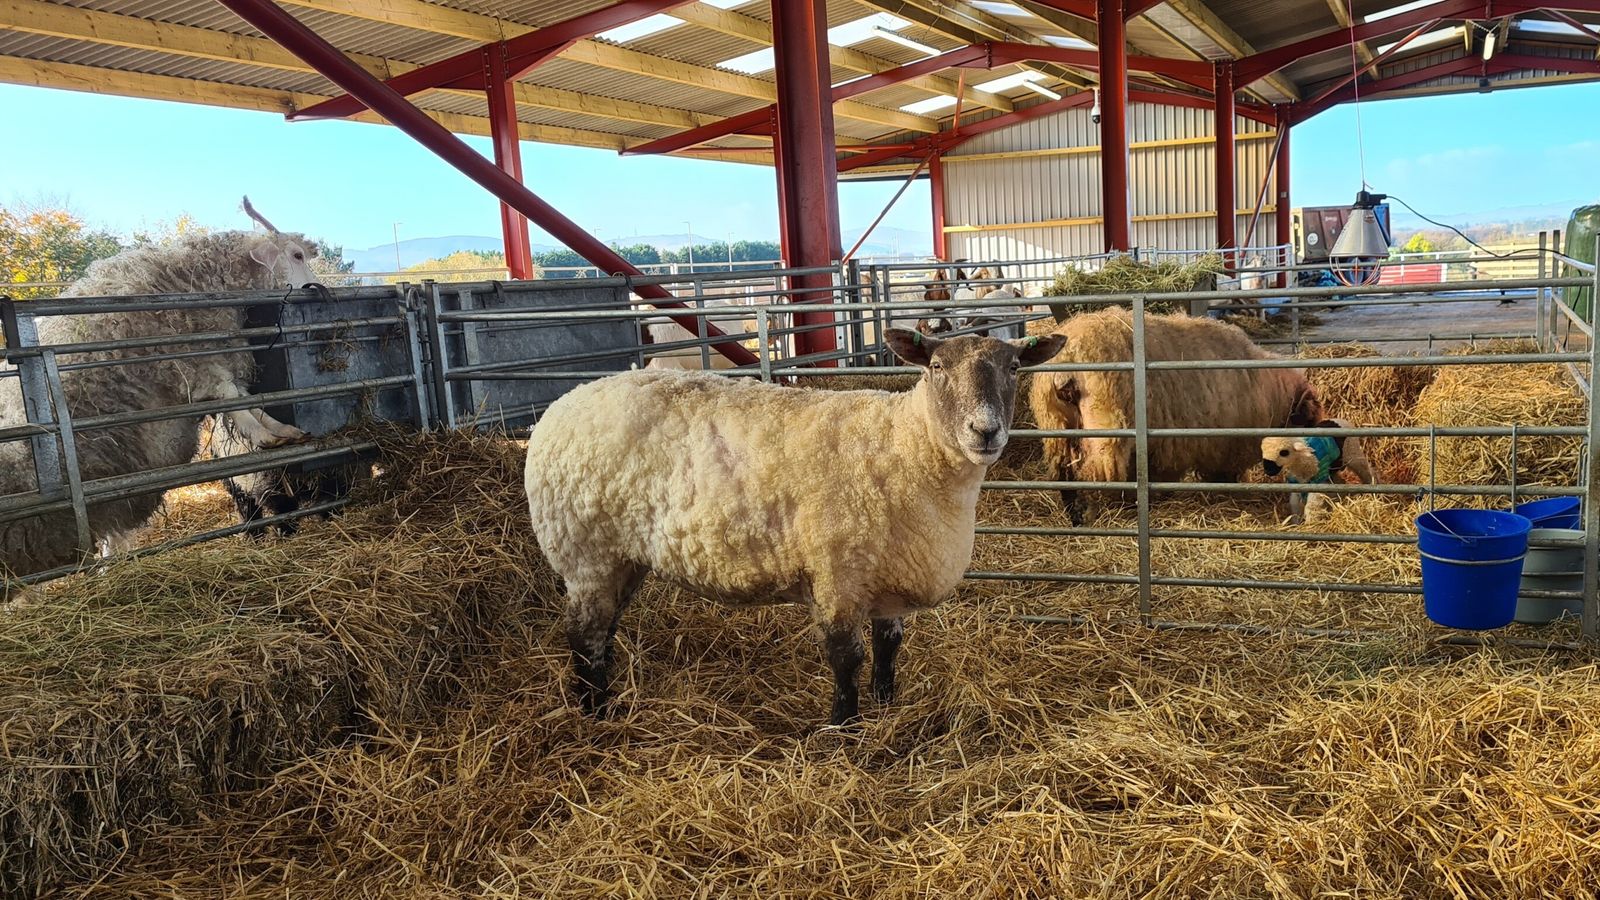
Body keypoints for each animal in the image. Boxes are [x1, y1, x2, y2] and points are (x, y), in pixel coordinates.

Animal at [0, 202, 316, 585]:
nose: (315, 288)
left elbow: (249, 402)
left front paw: (282, 431)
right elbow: (235, 400)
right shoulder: (194, 366)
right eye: (297, 254)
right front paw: (267, 436)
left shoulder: (215, 356)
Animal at [524, 328, 1067, 725]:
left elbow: (889, 648)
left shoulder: (888, 576)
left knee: (604, 630)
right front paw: (844, 729)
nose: (985, 431)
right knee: (583, 635)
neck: (908, 445)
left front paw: (887, 705)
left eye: (1014, 368)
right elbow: (847, 658)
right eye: (937, 368)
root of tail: (561, 405)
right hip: (585, 550)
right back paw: (596, 712)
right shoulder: (838, 573)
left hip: (622, 558)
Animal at [1028, 308, 1324, 524]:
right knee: (1093, 473)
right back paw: (1093, 513)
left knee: (1064, 473)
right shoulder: (1211, 446)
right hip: (1105, 433)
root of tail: (1069, 360)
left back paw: (1075, 516)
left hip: (1056, 429)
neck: (1273, 392)